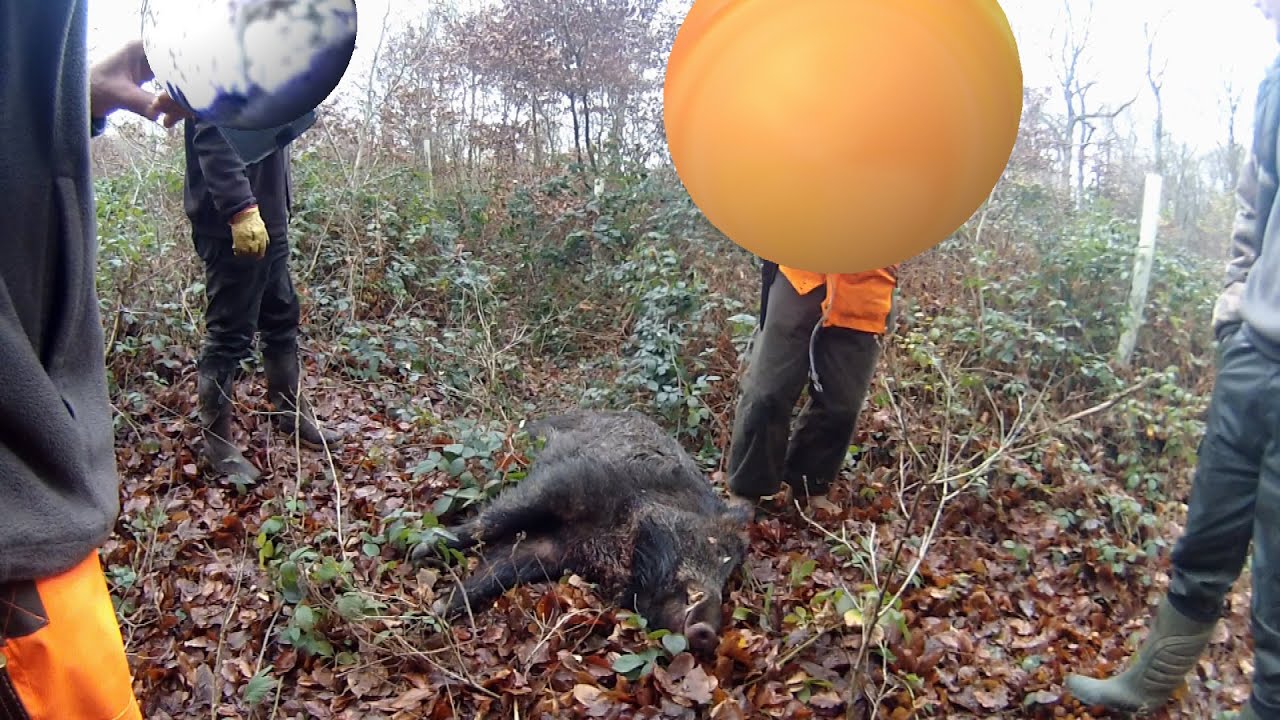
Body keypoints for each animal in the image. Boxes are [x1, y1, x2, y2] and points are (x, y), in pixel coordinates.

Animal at [410, 409, 751, 655]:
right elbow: (493, 520)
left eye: (728, 577)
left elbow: (498, 570)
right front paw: (416, 554)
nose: (709, 633)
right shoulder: (566, 481)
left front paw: (438, 608)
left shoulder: (556, 549)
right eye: (719, 550)